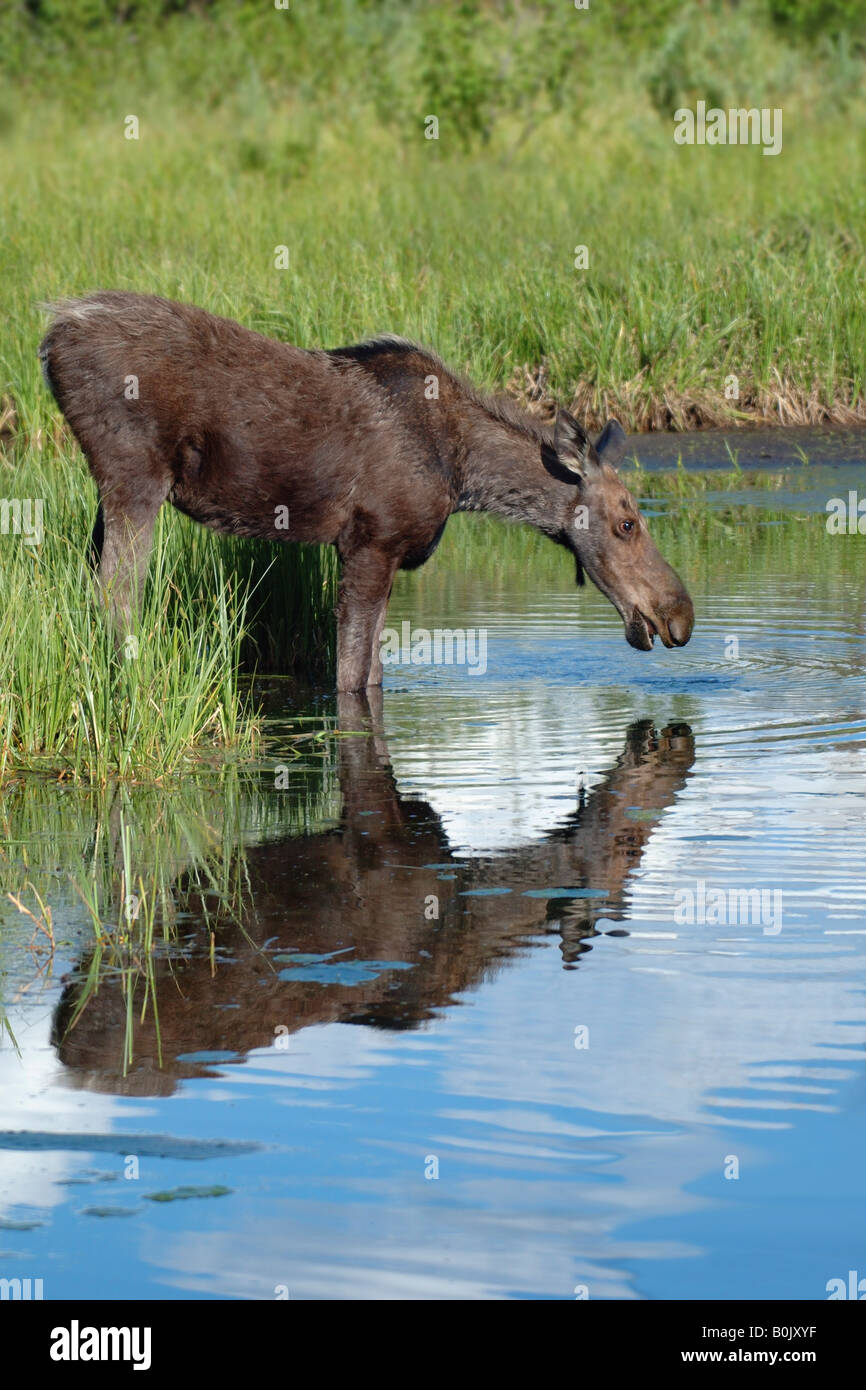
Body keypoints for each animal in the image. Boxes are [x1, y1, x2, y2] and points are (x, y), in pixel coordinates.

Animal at [39, 292, 694, 690]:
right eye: (627, 523)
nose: (679, 615)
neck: (463, 475)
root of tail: (50, 334)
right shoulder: (371, 541)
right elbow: (352, 675)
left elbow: (374, 667)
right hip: (134, 477)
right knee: (117, 589)